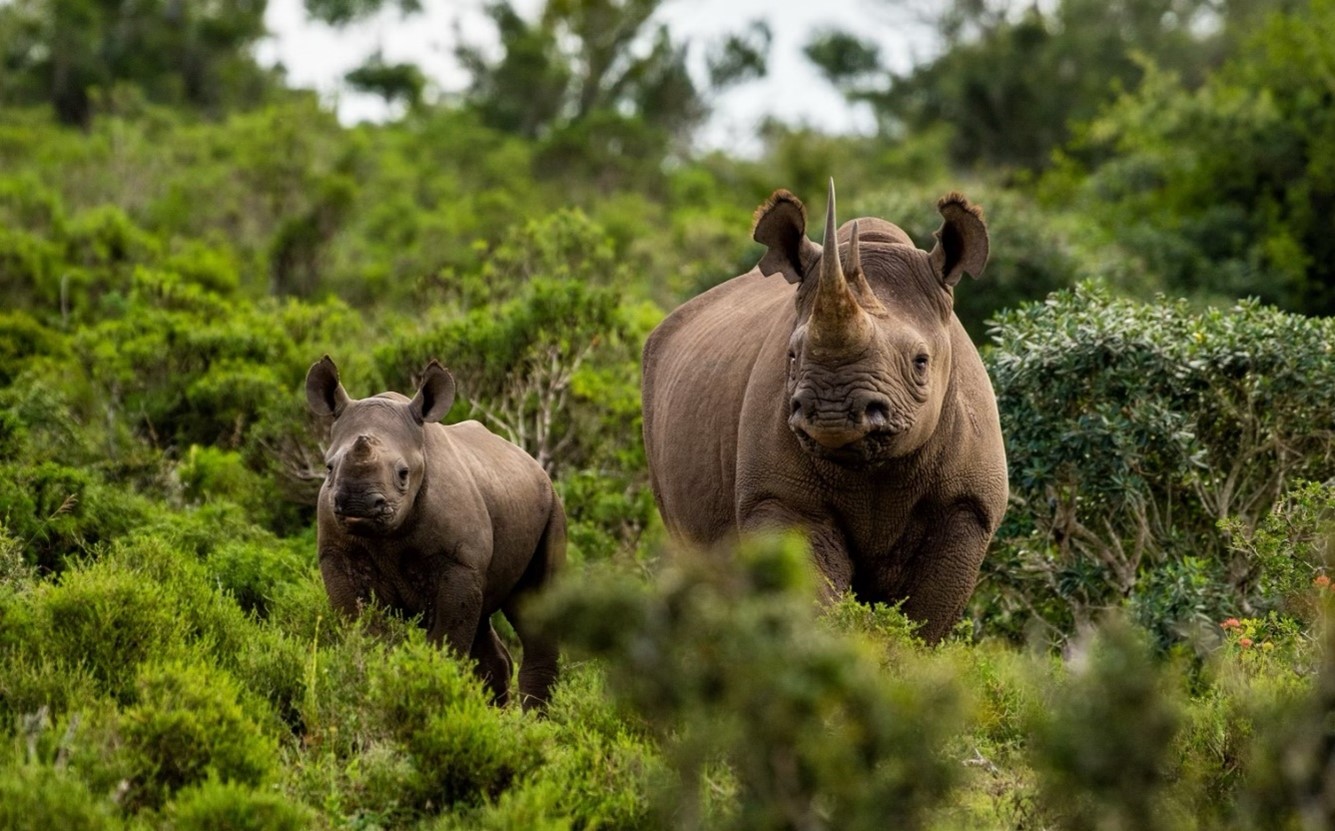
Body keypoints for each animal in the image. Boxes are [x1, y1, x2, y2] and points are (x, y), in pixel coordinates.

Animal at [305, 356, 564, 708]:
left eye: (403, 473)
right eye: (329, 467)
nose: (357, 502)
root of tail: (533, 462)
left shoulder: (458, 565)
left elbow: (447, 642)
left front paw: (433, 687)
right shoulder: (337, 556)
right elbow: (365, 633)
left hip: (552, 505)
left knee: (536, 608)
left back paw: (536, 720)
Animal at [642, 182, 1008, 642]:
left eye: (921, 362)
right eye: (792, 356)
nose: (833, 410)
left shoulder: (966, 506)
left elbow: (926, 616)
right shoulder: (781, 498)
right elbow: (813, 594)